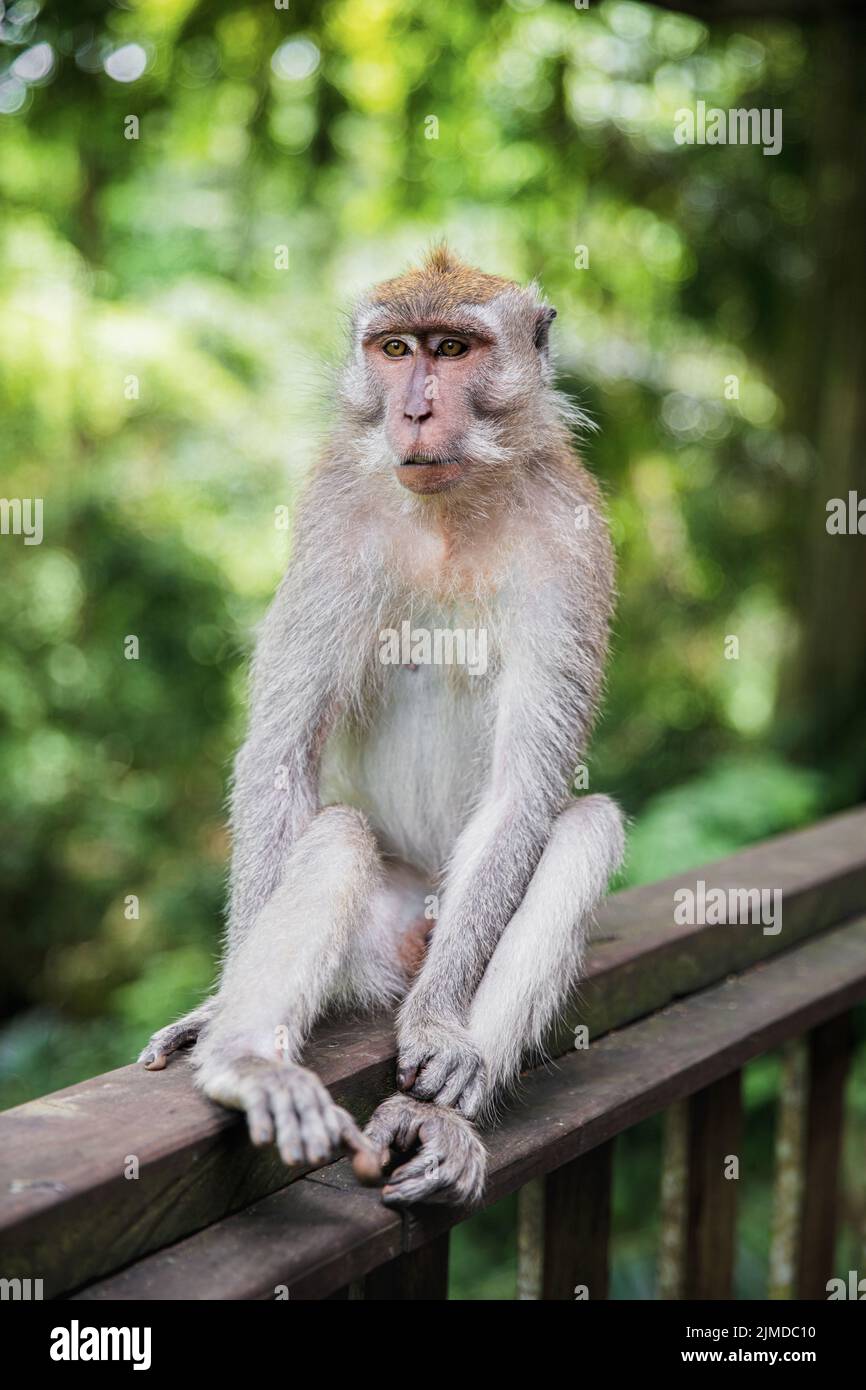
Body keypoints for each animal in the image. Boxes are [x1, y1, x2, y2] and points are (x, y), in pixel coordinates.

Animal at [139, 246, 625, 1207]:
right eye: (396, 349)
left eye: (454, 348)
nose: (414, 409)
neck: (452, 505)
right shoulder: (331, 523)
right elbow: (282, 756)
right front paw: (218, 1013)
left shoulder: (574, 540)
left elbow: (523, 791)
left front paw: (438, 1026)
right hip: (364, 957)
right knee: (336, 834)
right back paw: (246, 1059)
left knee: (585, 828)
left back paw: (443, 1109)